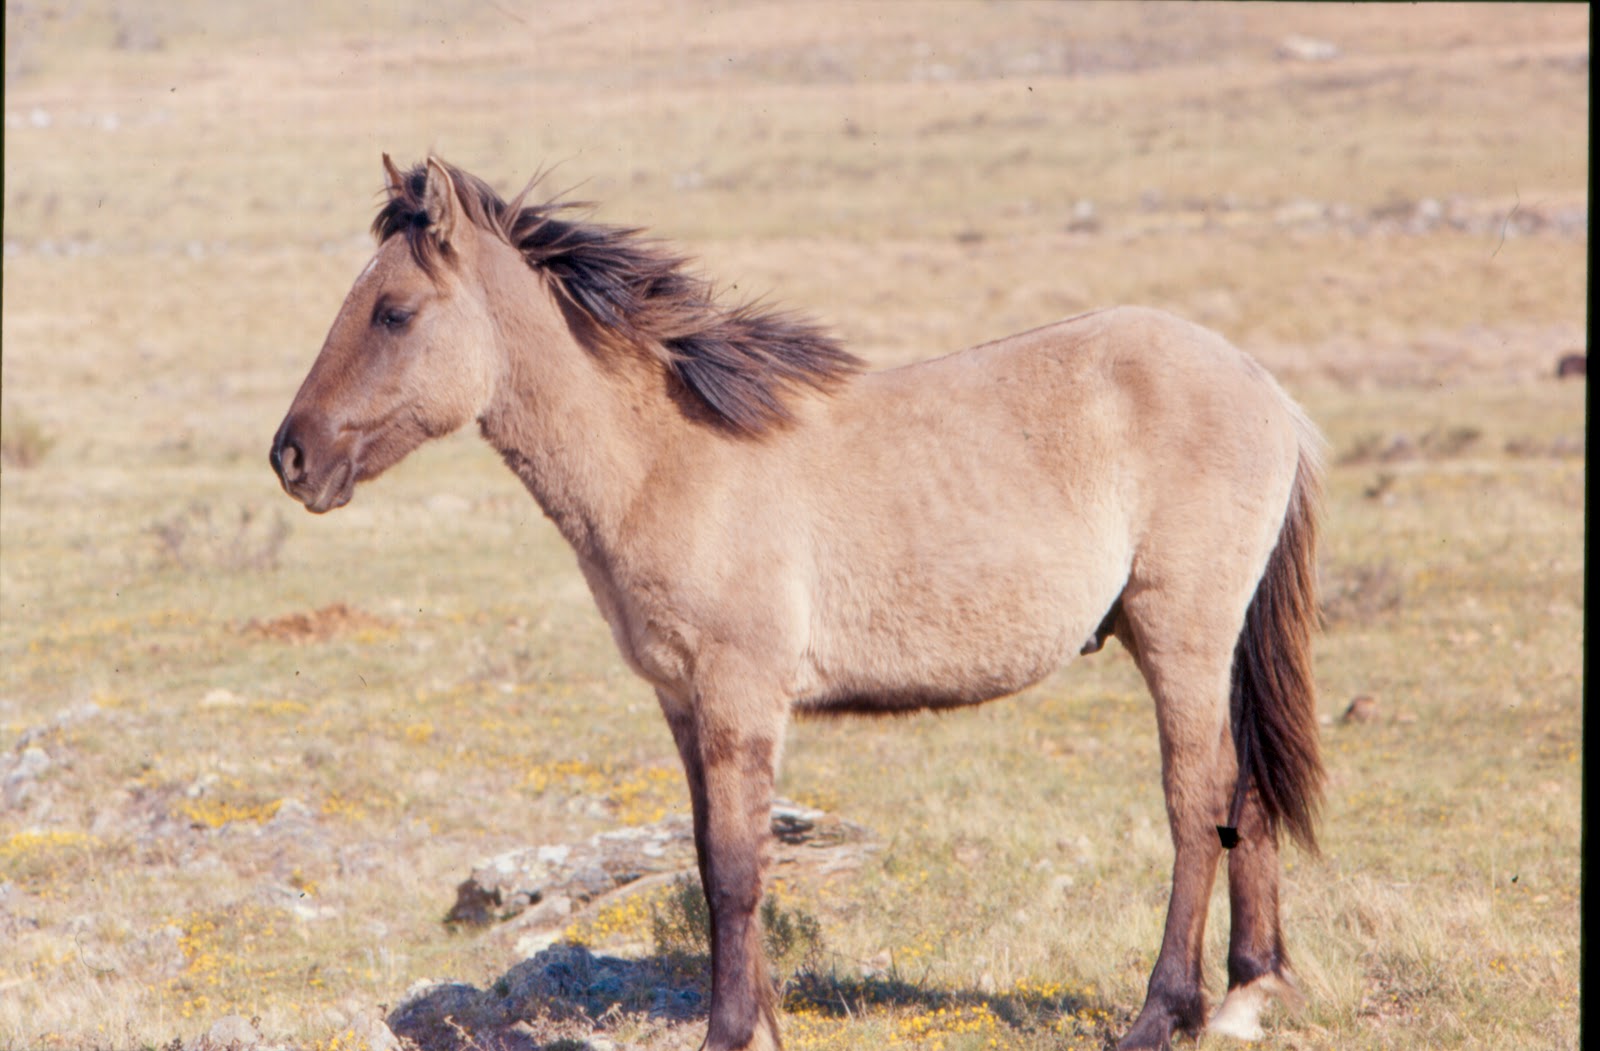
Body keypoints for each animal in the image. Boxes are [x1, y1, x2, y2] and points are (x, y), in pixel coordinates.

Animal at [270, 156, 1325, 1051]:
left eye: (394, 311)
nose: (292, 455)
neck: (667, 457)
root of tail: (1269, 391)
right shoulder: (683, 701)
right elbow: (708, 861)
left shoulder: (741, 693)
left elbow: (739, 869)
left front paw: (733, 1032)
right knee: (1243, 791)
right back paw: (1248, 994)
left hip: (1180, 636)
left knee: (1196, 801)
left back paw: (1162, 1013)